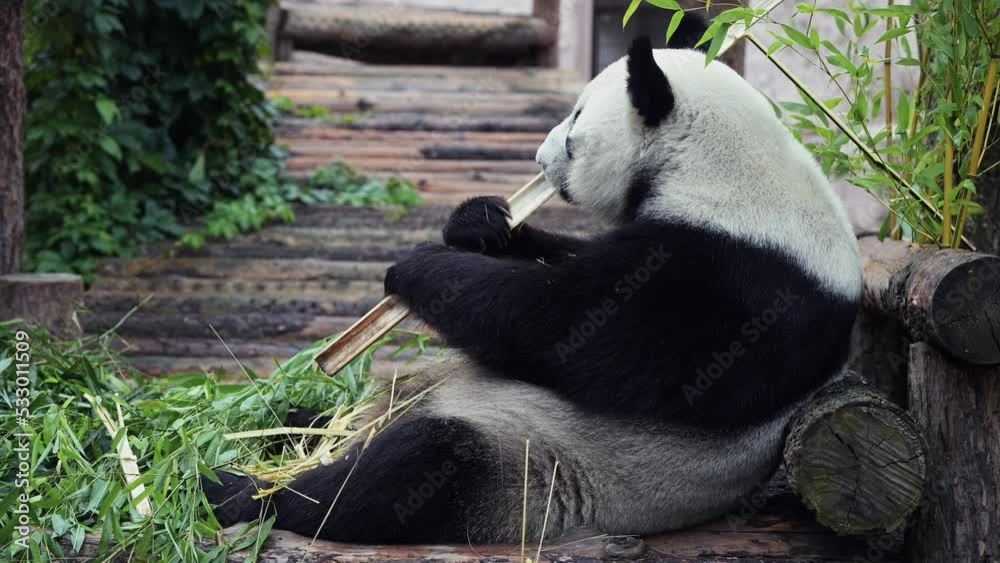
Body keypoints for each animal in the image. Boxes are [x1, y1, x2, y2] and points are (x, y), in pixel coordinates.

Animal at [205, 22, 862, 544]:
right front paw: (479, 222)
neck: (724, 169)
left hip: (530, 468)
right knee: (329, 416)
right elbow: (562, 262)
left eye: (574, 120)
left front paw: (418, 267)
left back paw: (235, 489)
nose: (539, 160)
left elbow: (568, 328)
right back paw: (275, 429)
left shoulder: (736, 284)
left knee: (408, 471)